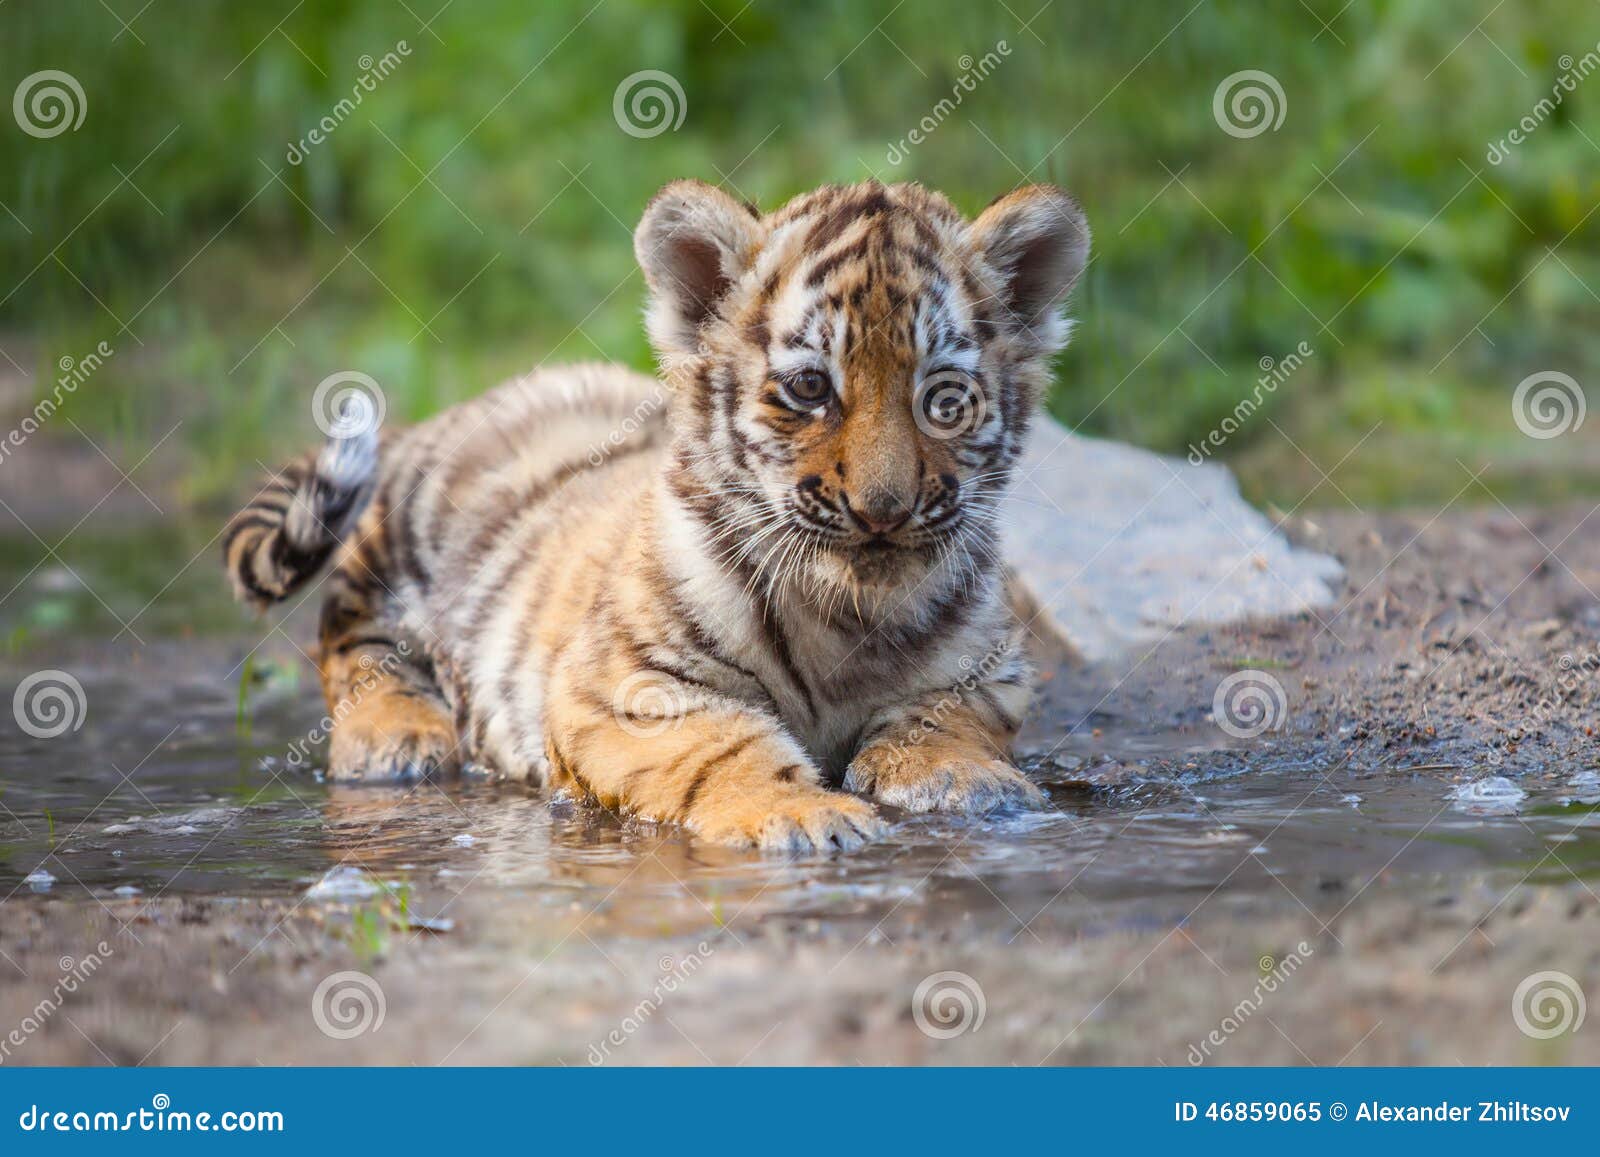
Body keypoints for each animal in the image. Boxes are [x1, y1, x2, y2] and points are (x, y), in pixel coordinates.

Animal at [222, 178, 1090, 852]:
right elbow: (722, 748)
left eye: (944, 399)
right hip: (399, 537)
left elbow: (939, 716)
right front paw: (806, 815)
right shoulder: (624, 687)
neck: (848, 610)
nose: (883, 511)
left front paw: (968, 781)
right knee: (349, 637)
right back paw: (396, 736)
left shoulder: (991, 670)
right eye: (810, 387)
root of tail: (470, 403)